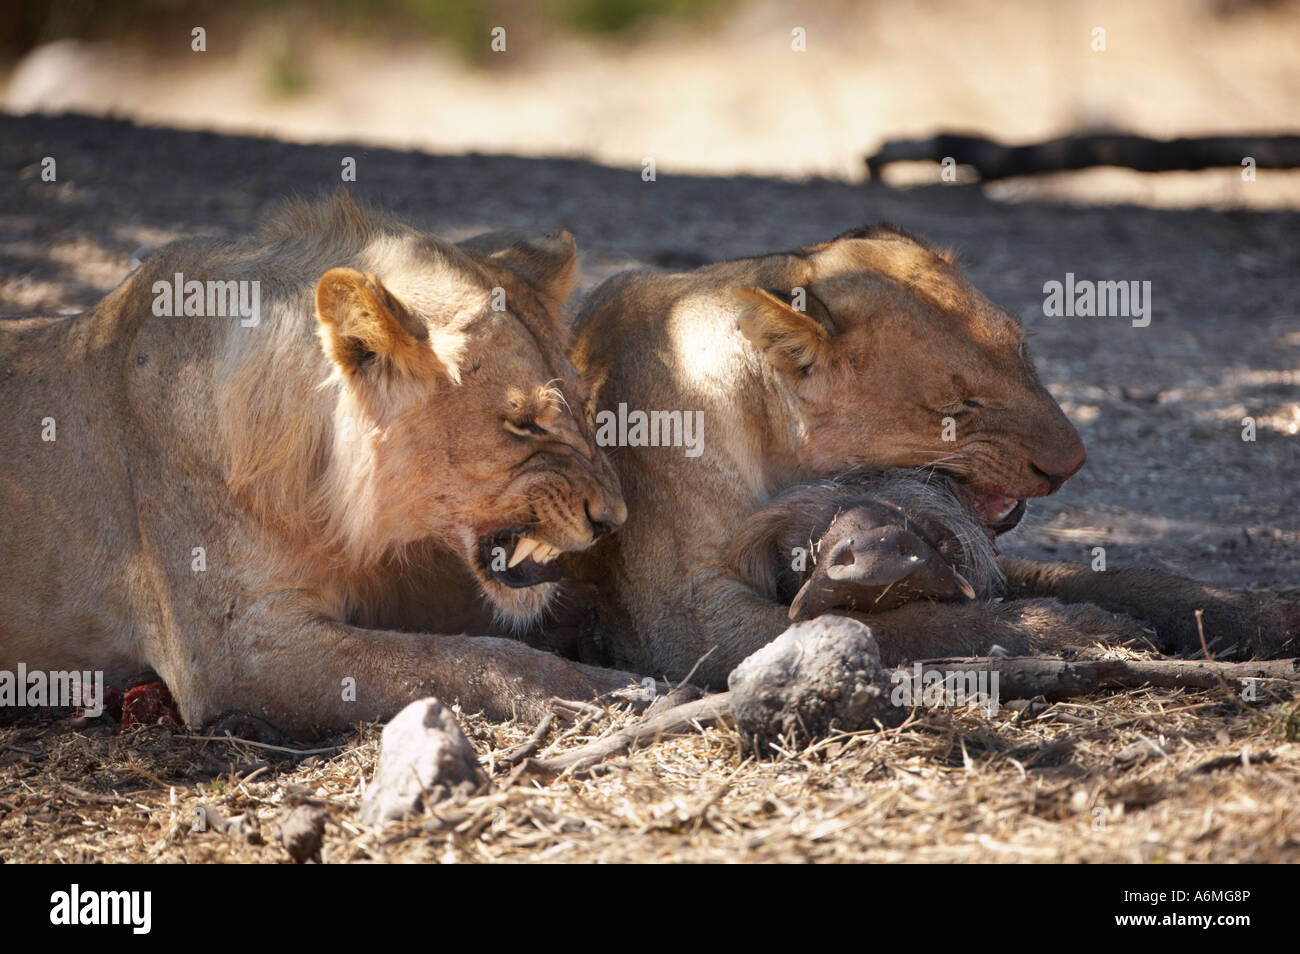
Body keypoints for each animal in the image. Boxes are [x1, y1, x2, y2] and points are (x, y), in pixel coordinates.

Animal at [0, 193, 647, 738]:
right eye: (524, 422)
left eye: (582, 406)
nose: (614, 520)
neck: (325, 506)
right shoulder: (230, 654)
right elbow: (455, 658)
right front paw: (602, 689)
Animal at [569, 225, 1296, 683]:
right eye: (956, 407)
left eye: (1022, 352)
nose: (1071, 465)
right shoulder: (686, 622)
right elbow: (912, 623)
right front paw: (1079, 631)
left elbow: (1124, 577)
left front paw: (1264, 612)